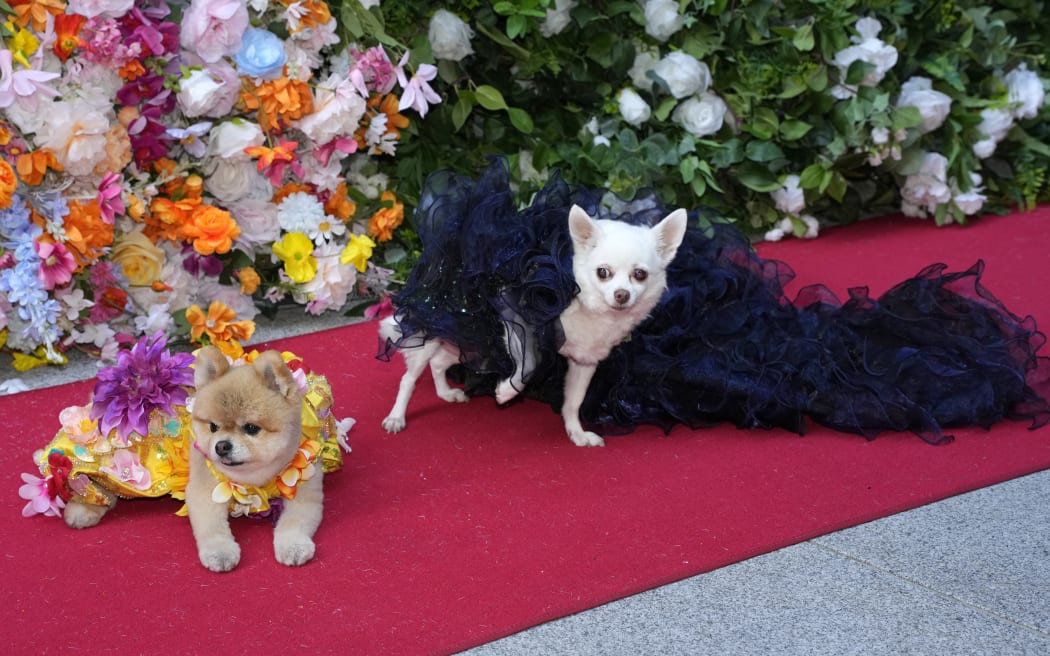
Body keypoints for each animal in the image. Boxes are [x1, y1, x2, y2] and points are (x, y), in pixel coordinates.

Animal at [382, 204, 684, 445]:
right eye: (603, 272)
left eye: (640, 275)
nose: (622, 294)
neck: (584, 302)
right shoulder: (515, 316)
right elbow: (530, 363)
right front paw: (506, 392)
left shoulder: (584, 360)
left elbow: (573, 401)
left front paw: (576, 433)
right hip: (434, 329)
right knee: (410, 378)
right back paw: (397, 416)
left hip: (466, 340)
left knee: (438, 363)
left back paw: (445, 393)